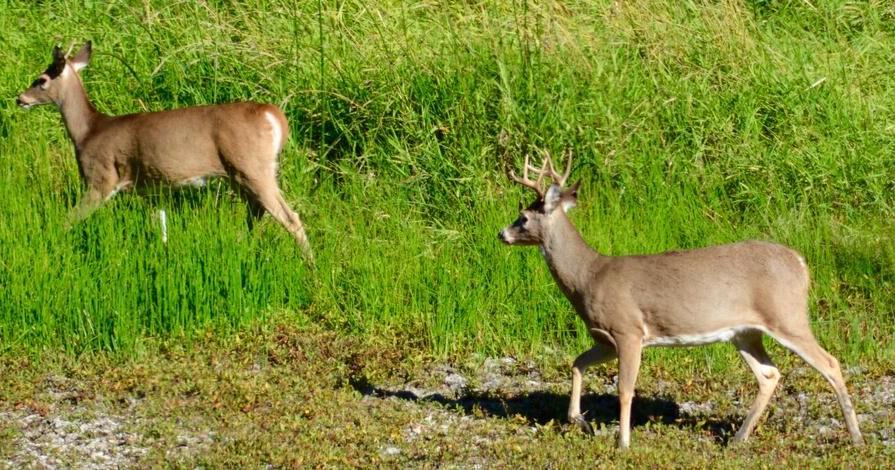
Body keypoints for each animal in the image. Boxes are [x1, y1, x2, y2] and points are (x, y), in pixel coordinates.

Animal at [16, 42, 313, 260]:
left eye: (41, 80)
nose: (20, 98)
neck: (88, 131)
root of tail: (274, 116)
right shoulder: (151, 188)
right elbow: (160, 227)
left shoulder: (101, 178)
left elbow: (68, 220)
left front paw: (52, 246)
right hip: (239, 173)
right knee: (258, 212)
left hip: (252, 167)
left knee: (290, 217)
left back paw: (310, 268)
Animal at [497, 150, 864, 448]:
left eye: (523, 217)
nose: (502, 233)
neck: (589, 276)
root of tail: (801, 264)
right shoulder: (605, 338)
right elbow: (576, 363)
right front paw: (581, 422)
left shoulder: (628, 330)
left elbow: (625, 389)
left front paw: (623, 443)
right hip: (745, 332)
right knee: (769, 374)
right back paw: (738, 439)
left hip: (786, 315)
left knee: (830, 363)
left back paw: (856, 438)